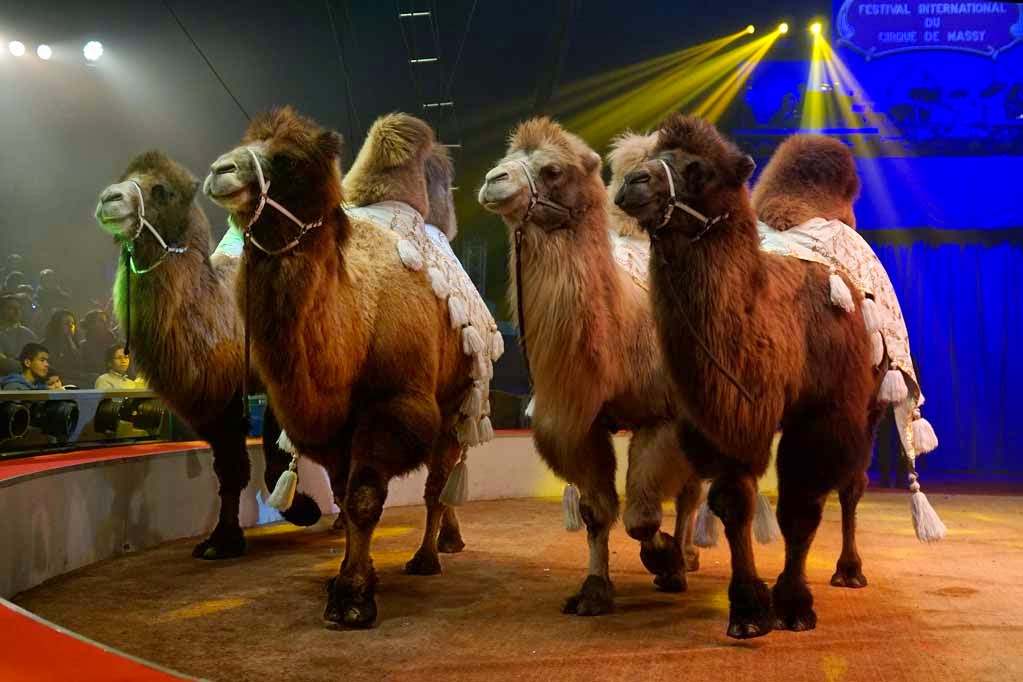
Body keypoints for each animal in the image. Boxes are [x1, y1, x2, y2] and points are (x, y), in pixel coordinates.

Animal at [95, 151, 321, 560]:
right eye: (124, 175)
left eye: (161, 190)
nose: (110, 198)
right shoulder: (213, 400)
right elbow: (229, 470)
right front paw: (221, 541)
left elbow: (271, 460)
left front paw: (304, 510)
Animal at [204, 107, 499, 628]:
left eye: (289, 159)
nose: (221, 170)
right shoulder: (332, 429)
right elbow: (343, 494)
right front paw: (350, 576)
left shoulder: (392, 406)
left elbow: (363, 499)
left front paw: (353, 596)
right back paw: (449, 539)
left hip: (457, 402)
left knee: (437, 483)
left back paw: (428, 556)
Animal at [477, 118, 703, 614]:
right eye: (505, 159)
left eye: (552, 170)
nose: (492, 180)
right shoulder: (580, 427)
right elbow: (597, 512)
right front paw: (594, 589)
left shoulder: (663, 417)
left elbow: (642, 514)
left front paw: (663, 557)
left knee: (690, 495)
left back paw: (684, 558)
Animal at [614, 113, 887, 639]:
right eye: (651, 156)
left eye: (699, 171)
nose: (632, 183)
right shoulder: (727, 414)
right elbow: (732, 502)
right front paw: (747, 610)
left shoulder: (821, 412)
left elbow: (801, 507)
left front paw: (795, 604)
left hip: (870, 406)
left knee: (852, 485)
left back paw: (849, 570)